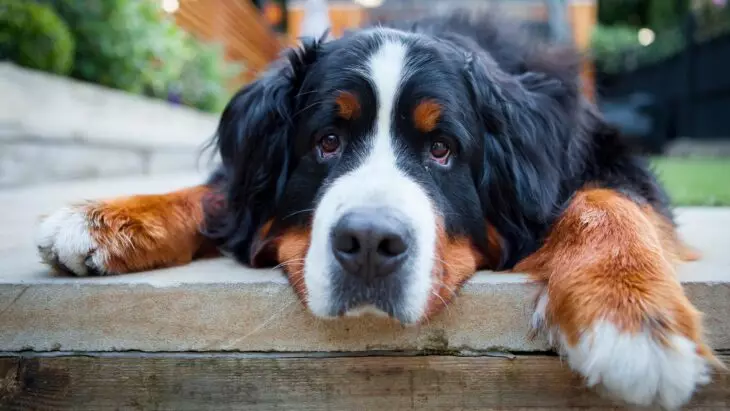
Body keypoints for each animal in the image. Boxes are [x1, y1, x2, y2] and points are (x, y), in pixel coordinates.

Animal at [32, 11, 716, 410]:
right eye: (327, 141)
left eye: (442, 150)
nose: (367, 244)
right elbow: (218, 194)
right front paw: (106, 219)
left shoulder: (605, 159)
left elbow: (606, 201)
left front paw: (631, 319)